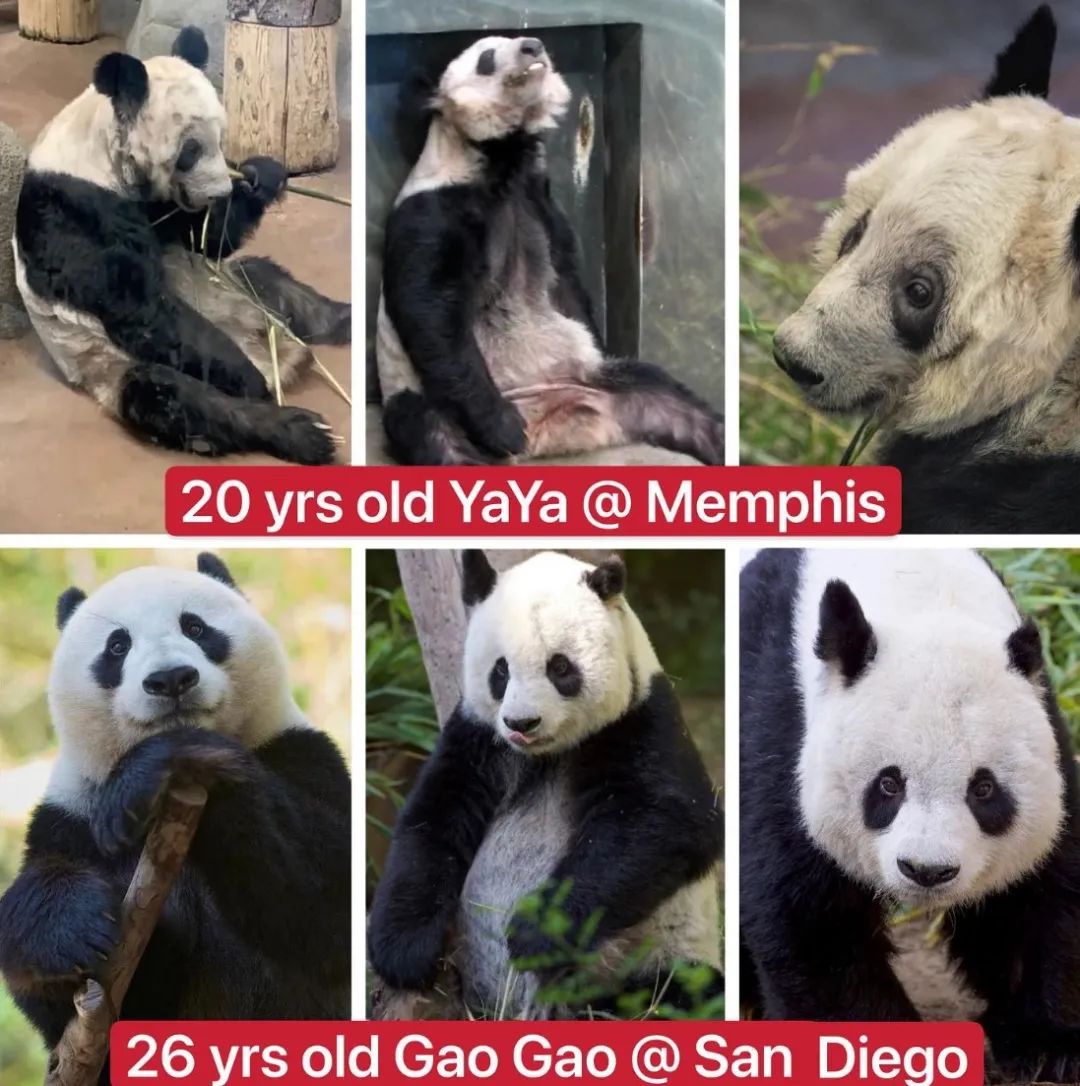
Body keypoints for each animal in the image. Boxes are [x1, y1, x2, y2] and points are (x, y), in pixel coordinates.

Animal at [0, 553, 351, 1080]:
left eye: (196, 627)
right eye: (118, 645)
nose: (171, 680)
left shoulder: (300, 754)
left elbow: (326, 896)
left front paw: (161, 763)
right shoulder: (71, 820)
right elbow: (54, 1001)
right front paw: (79, 927)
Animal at [13, 27, 350, 466]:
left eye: (222, 139)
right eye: (190, 151)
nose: (221, 191)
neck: (100, 152)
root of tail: (273, 352)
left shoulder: (164, 205)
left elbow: (206, 240)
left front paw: (262, 176)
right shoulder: (73, 209)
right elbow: (140, 306)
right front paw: (248, 381)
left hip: (237, 289)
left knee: (267, 277)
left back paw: (342, 320)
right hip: (110, 363)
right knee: (172, 397)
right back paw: (299, 427)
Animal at [367, 550, 722, 1019]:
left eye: (560, 667)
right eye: (500, 671)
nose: (522, 723)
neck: (546, 755)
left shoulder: (643, 720)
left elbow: (665, 821)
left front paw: (534, 933)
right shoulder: (478, 737)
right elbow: (432, 821)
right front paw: (405, 953)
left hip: (656, 955)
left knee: (685, 991)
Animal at [375, 37, 724, 467]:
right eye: (485, 59)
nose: (532, 44)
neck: (498, 158)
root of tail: (550, 429)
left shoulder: (537, 198)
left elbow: (566, 278)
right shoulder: (432, 210)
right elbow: (429, 308)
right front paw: (503, 427)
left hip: (605, 384)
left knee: (669, 398)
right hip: (423, 397)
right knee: (430, 432)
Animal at [740, 548, 1080, 1083]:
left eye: (984, 789)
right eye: (888, 784)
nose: (927, 870)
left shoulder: (1048, 729)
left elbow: (1045, 891)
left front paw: (1046, 1045)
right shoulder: (775, 722)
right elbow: (811, 920)